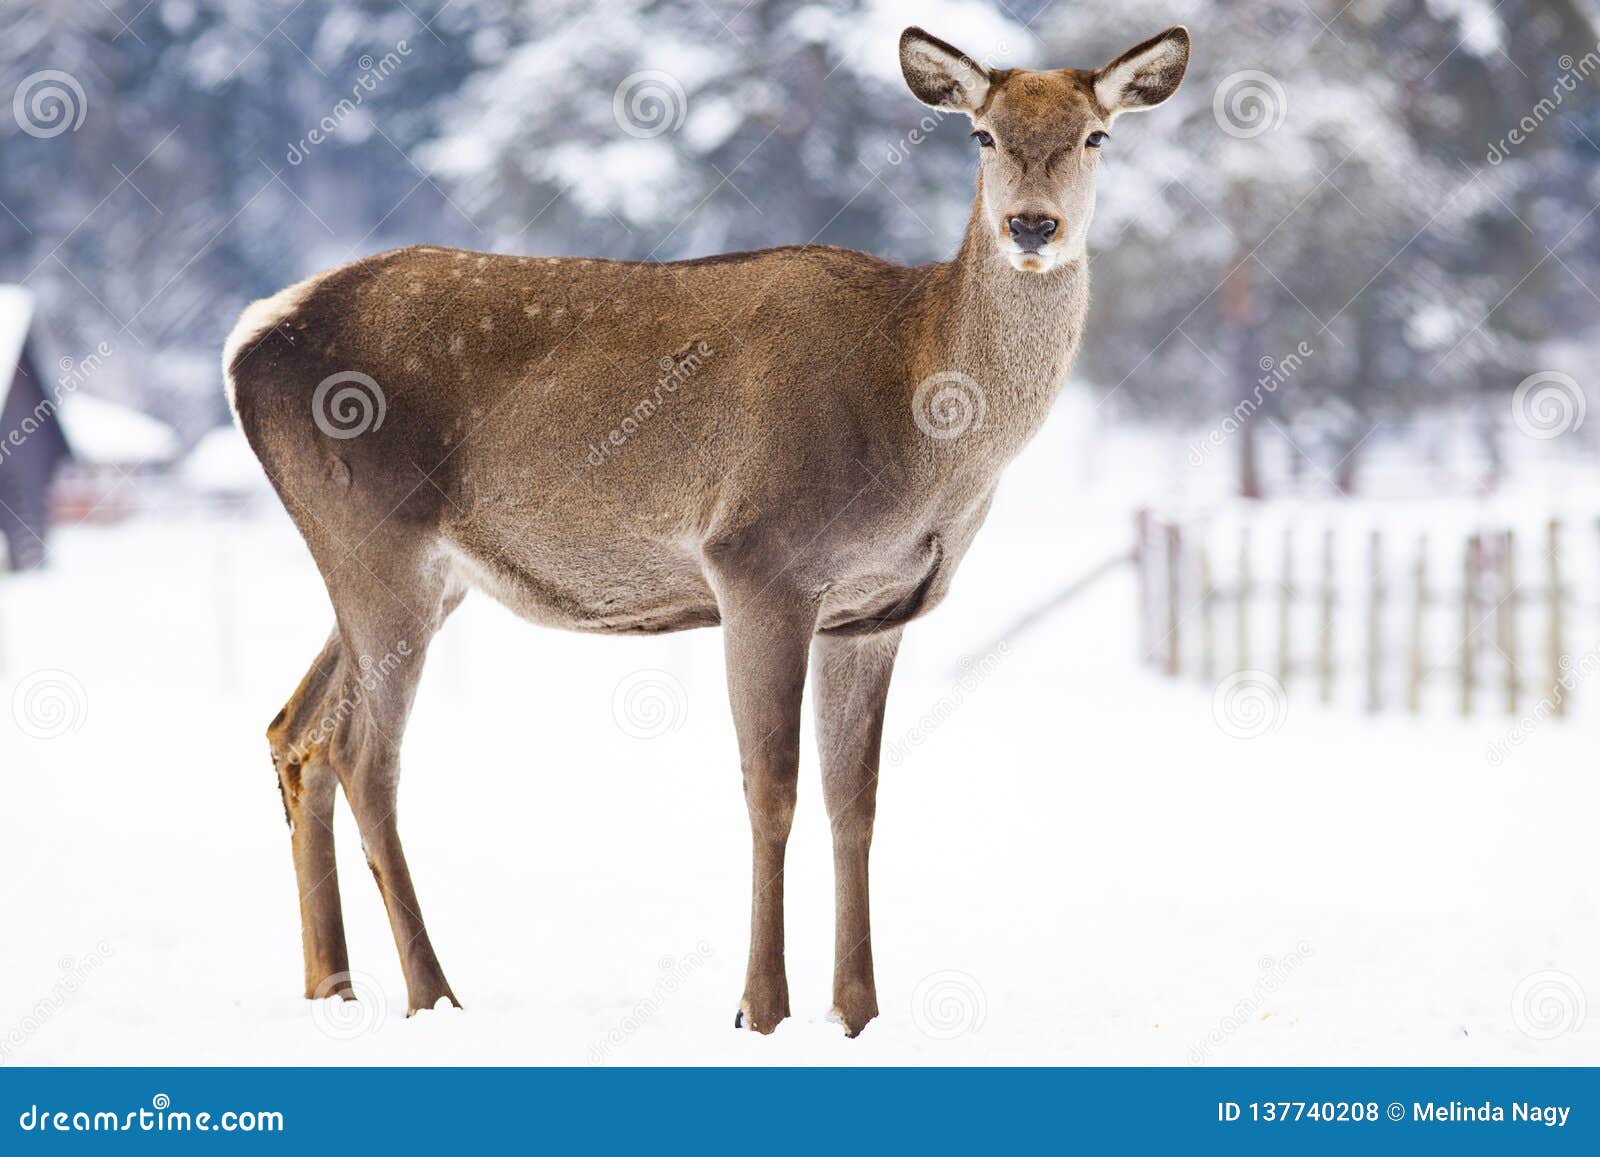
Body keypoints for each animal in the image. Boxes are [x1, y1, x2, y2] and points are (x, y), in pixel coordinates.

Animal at [224, 24, 1190, 1039]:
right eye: (983, 135)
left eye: (1095, 136)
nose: (1032, 227)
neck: (923, 425)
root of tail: (247, 340)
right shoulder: (757, 560)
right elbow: (772, 789)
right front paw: (761, 1008)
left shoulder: (873, 612)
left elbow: (857, 801)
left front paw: (858, 1013)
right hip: (378, 539)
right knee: (365, 754)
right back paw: (433, 993)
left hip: (419, 571)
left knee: (296, 728)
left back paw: (332, 984)